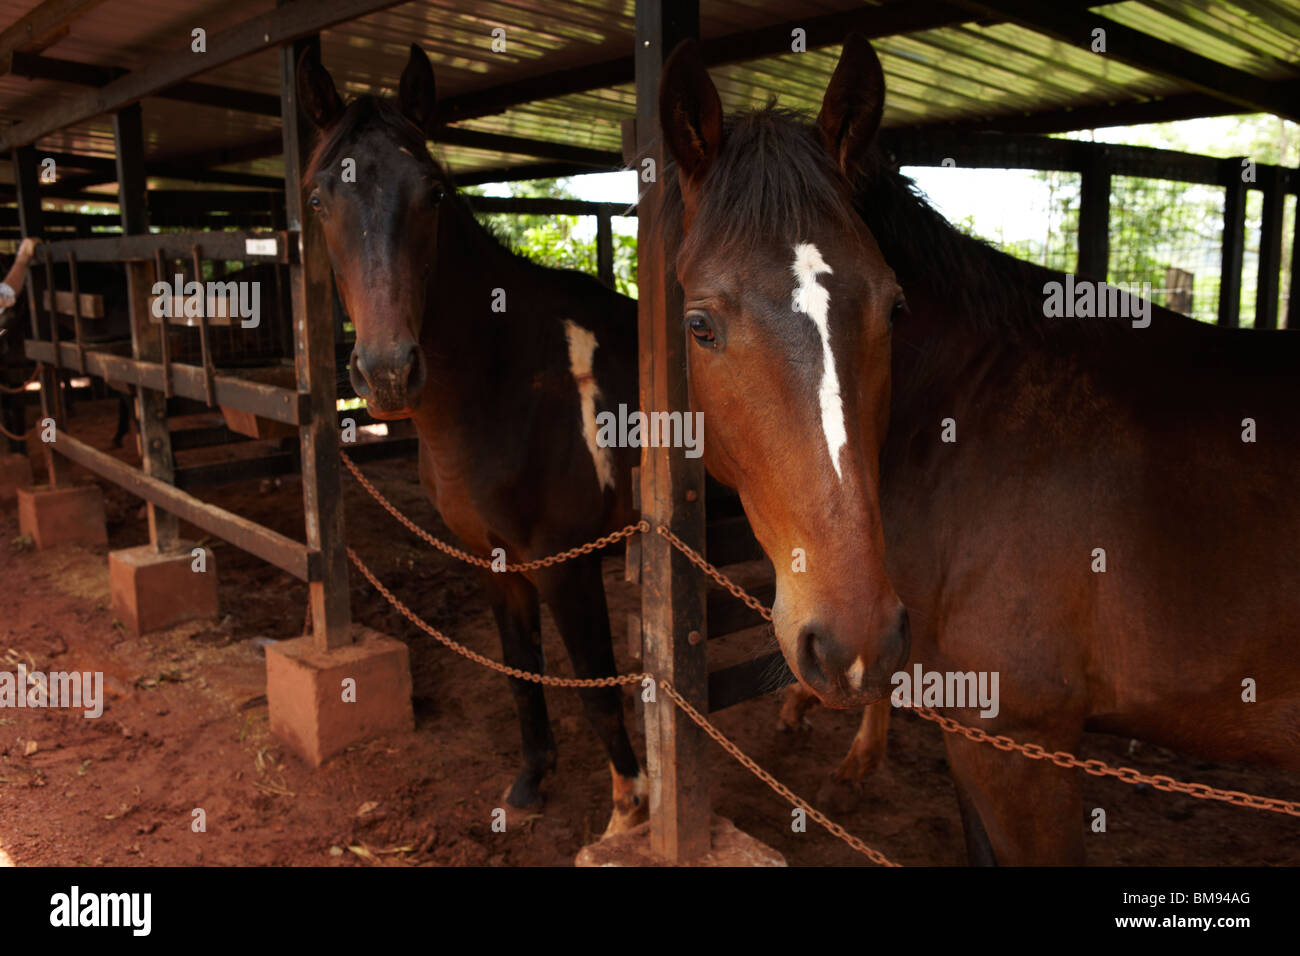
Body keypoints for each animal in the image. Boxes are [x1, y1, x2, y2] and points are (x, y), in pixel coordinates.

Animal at [296, 44, 647, 835]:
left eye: (432, 192)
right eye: (319, 199)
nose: (388, 372)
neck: (511, 376)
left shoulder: (567, 563)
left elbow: (598, 692)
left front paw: (630, 817)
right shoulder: (494, 559)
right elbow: (521, 673)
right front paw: (530, 782)